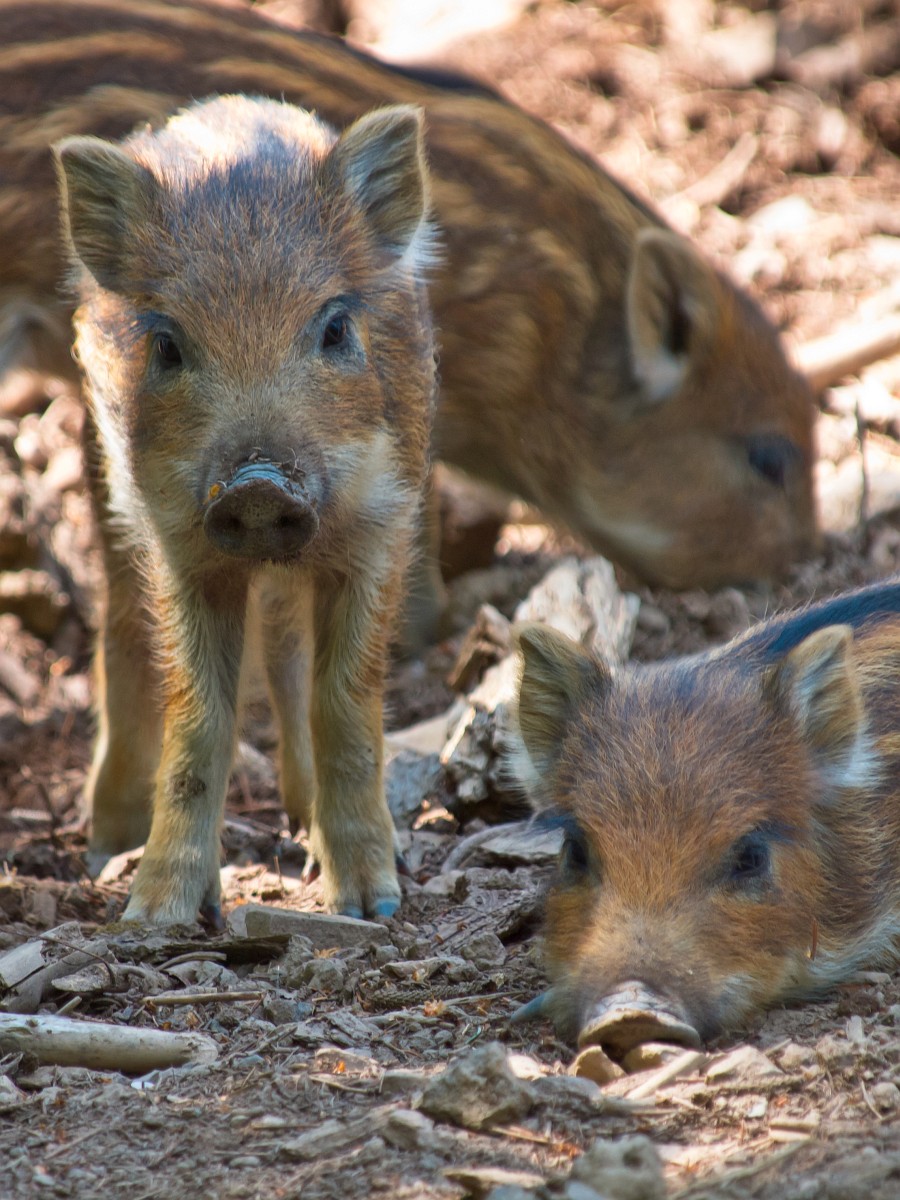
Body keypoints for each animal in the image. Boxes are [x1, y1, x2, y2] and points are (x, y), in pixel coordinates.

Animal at [54, 94, 436, 925]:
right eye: (167, 344)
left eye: (335, 327)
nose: (258, 485)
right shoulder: (182, 549)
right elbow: (200, 720)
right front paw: (152, 915)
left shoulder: (382, 528)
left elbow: (344, 703)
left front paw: (373, 904)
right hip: (110, 500)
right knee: (123, 632)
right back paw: (106, 849)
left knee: (289, 656)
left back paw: (303, 827)